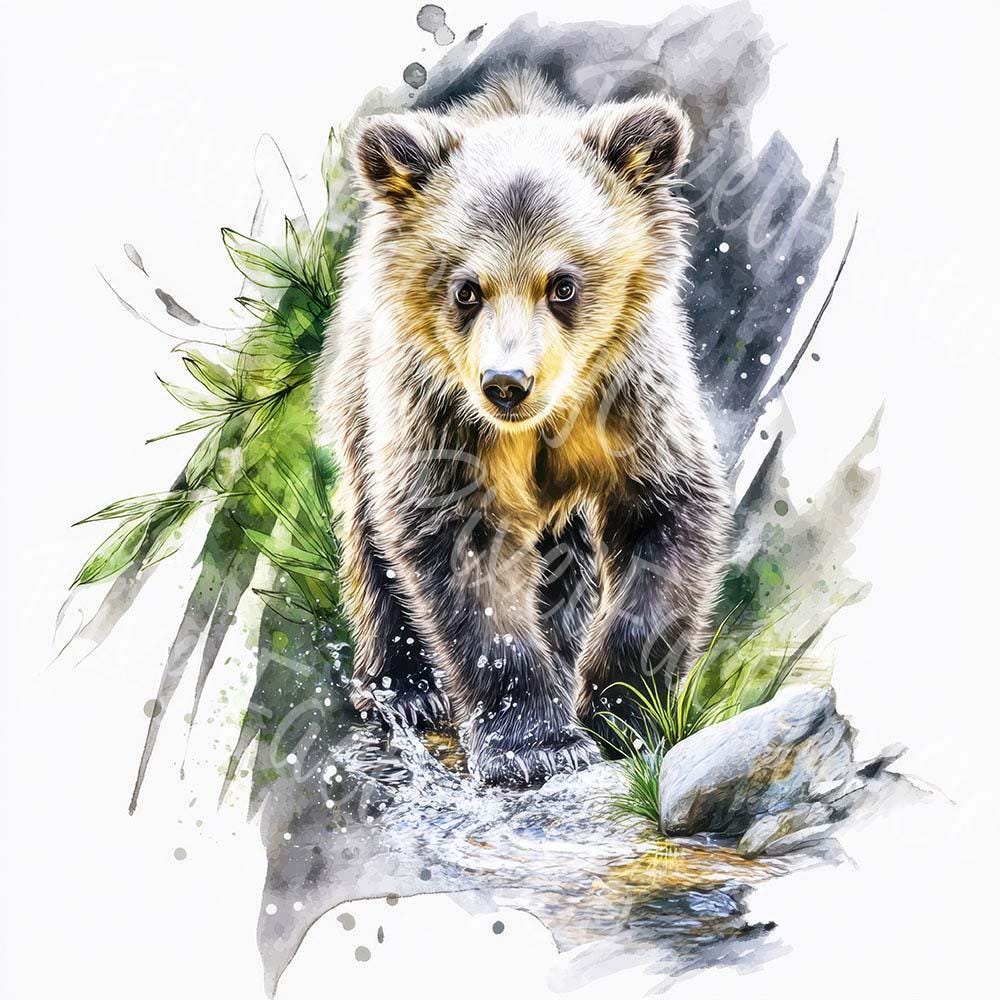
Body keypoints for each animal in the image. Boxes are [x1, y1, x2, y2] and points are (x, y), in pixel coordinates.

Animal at [315, 70, 730, 787]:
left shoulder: (630, 405)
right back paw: (404, 688)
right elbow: (464, 554)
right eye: (466, 289)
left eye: (563, 284)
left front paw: (622, 713)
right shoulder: (443, 419)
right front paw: (536, 745)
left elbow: (667, 516)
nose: (507, 383)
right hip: (361, 393)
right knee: (370, 531)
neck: (544, 424)